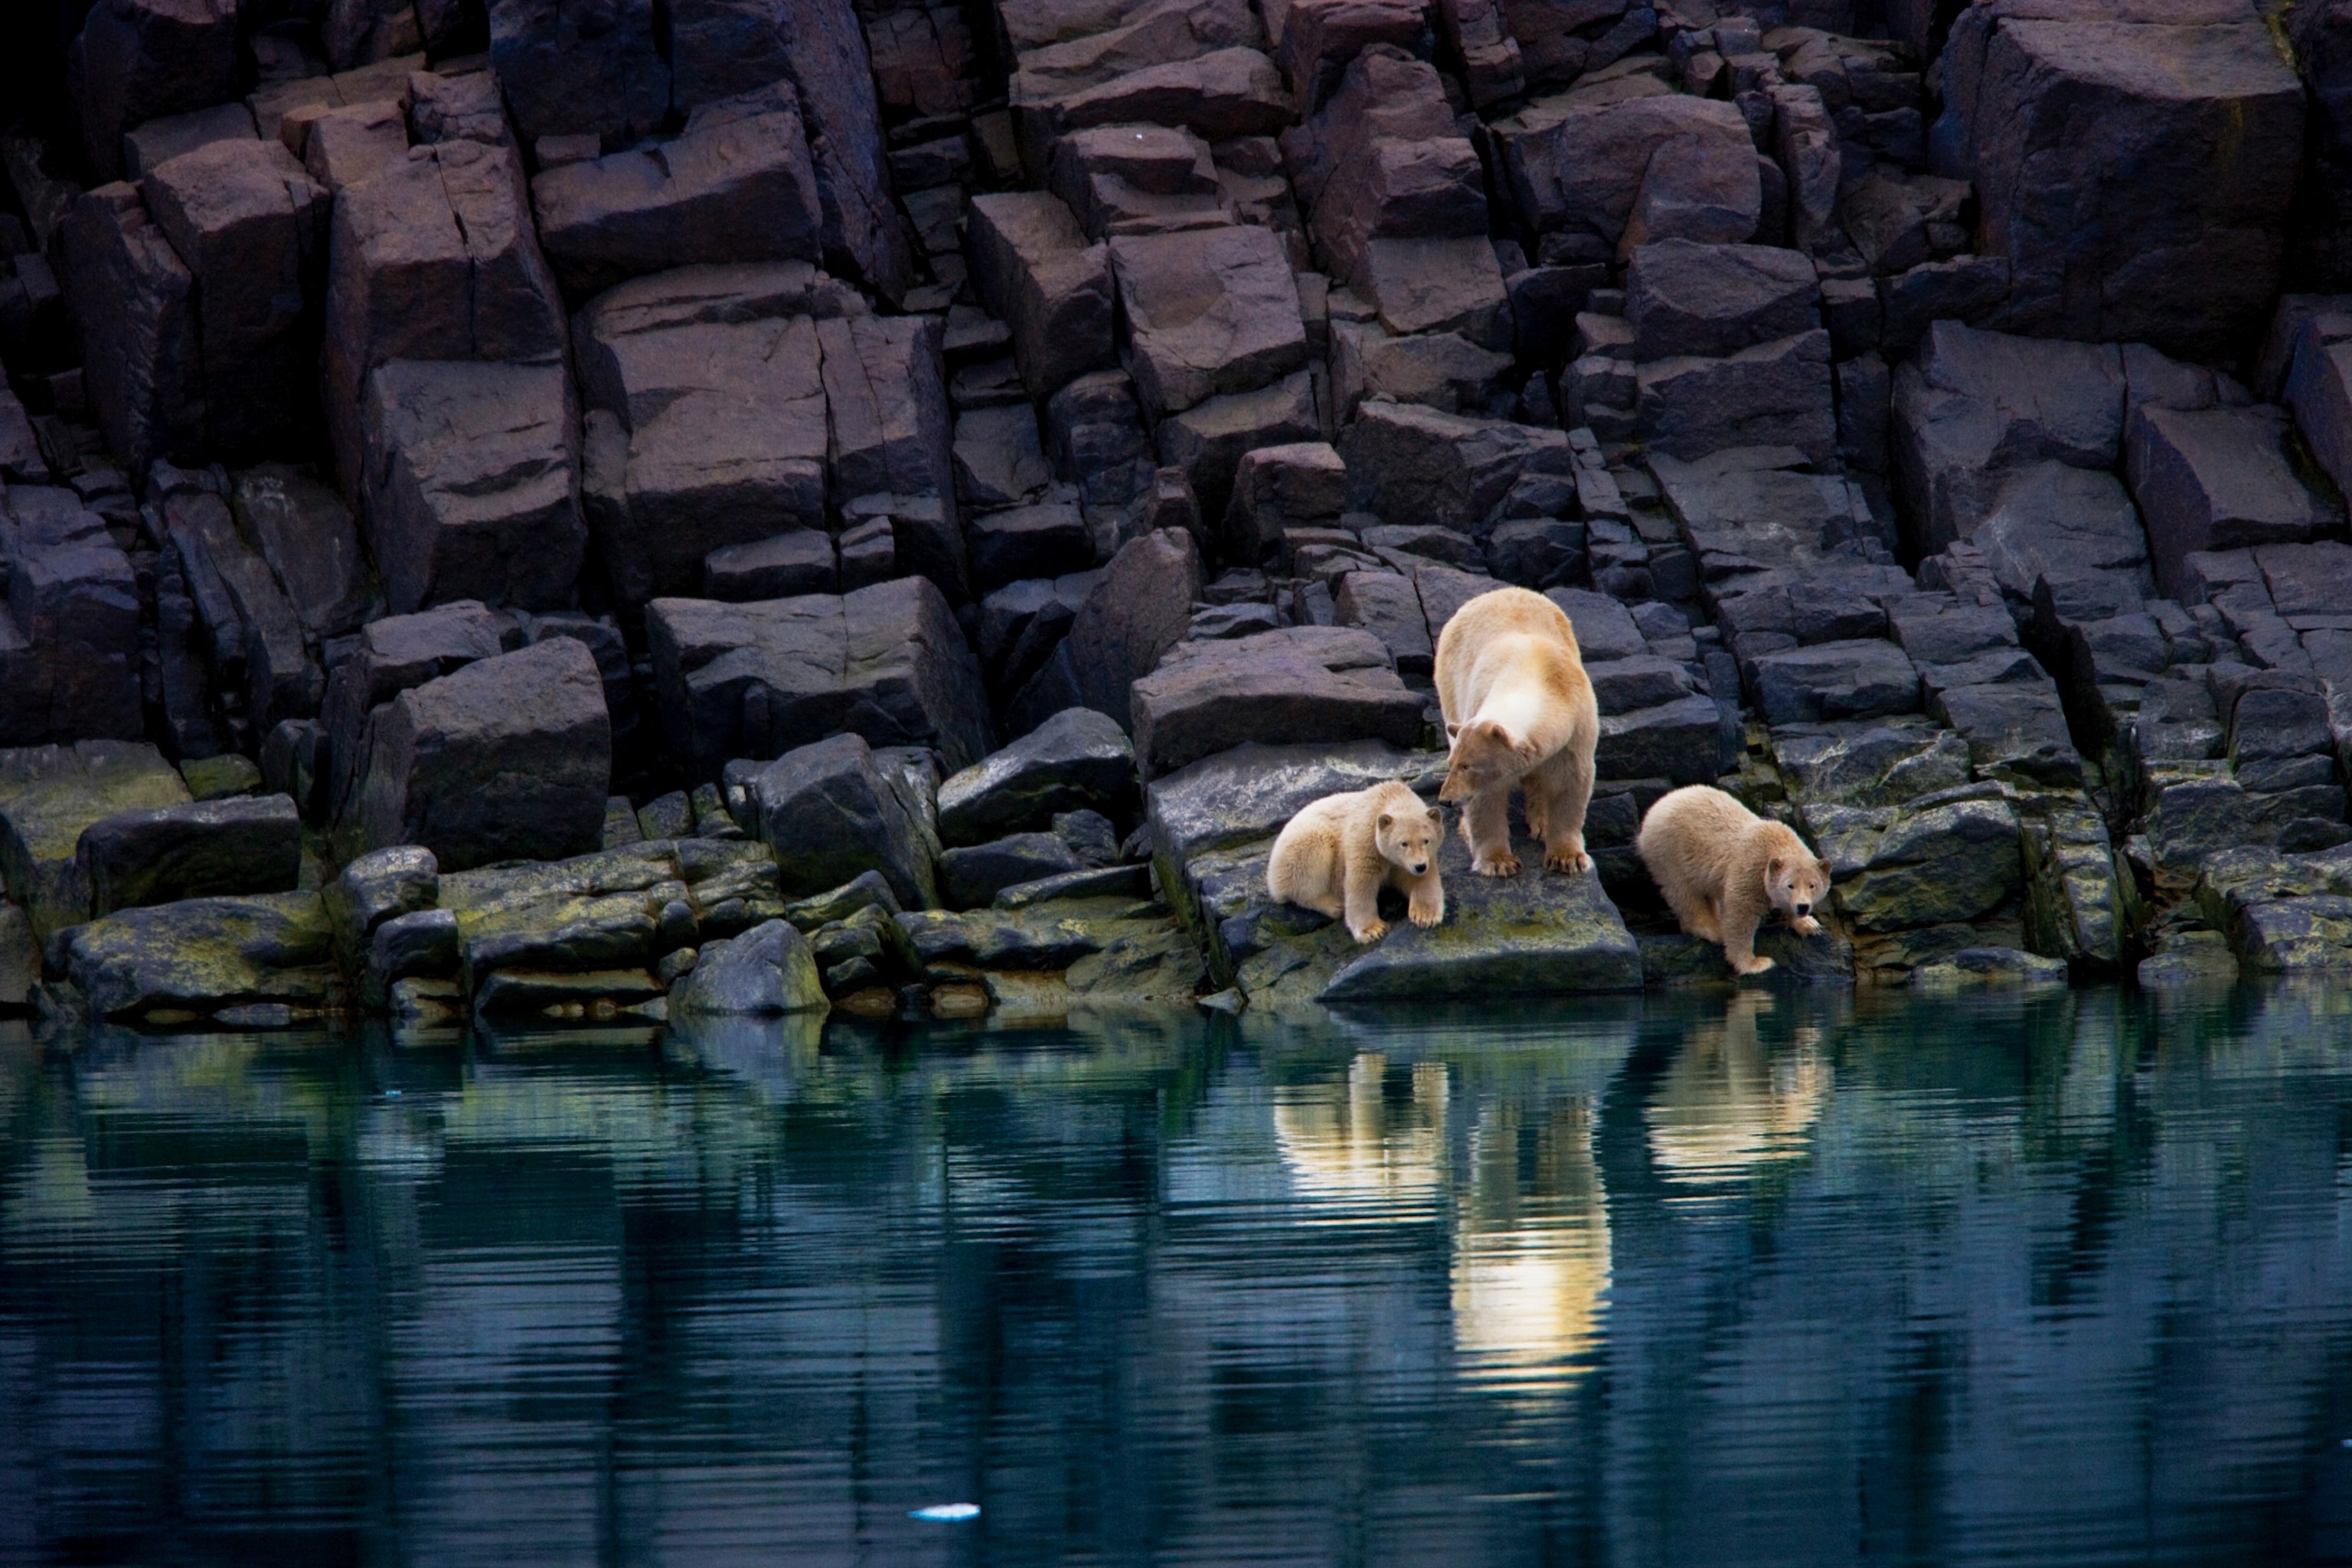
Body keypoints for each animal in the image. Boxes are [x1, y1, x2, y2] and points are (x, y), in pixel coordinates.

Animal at [1267, 780, 1445, 943]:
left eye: (1426, 840)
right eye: (1404, 843)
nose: (1419, 866)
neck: (1388, 796)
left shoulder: (1417, 859)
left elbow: (1421, 879)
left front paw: (1425, 916)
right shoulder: (1365, 838)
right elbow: (1361, 882)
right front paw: (1372, 930)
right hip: (1300, 846)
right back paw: (1334, 905)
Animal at [1433, 586, 1600, 878]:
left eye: (1466, 766)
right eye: (1453, 763)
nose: (1446, 800)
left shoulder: (1576, 729)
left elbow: (1571, 782)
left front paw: (1567, 857)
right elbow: (1486, 798)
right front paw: (1499, 861)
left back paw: (1541, 822)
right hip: (1450, 680)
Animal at [1635, 784, 1833, 976]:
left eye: (1812, 885)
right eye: (1790, 885)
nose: (1803, 906)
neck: (1776, 843)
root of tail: (1659, 804)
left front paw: (1809, 925)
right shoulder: (1750, 869)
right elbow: (1740, 915)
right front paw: (1755, 964)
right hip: (1668, 851)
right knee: (1682, 891)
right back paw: (1711, 928)